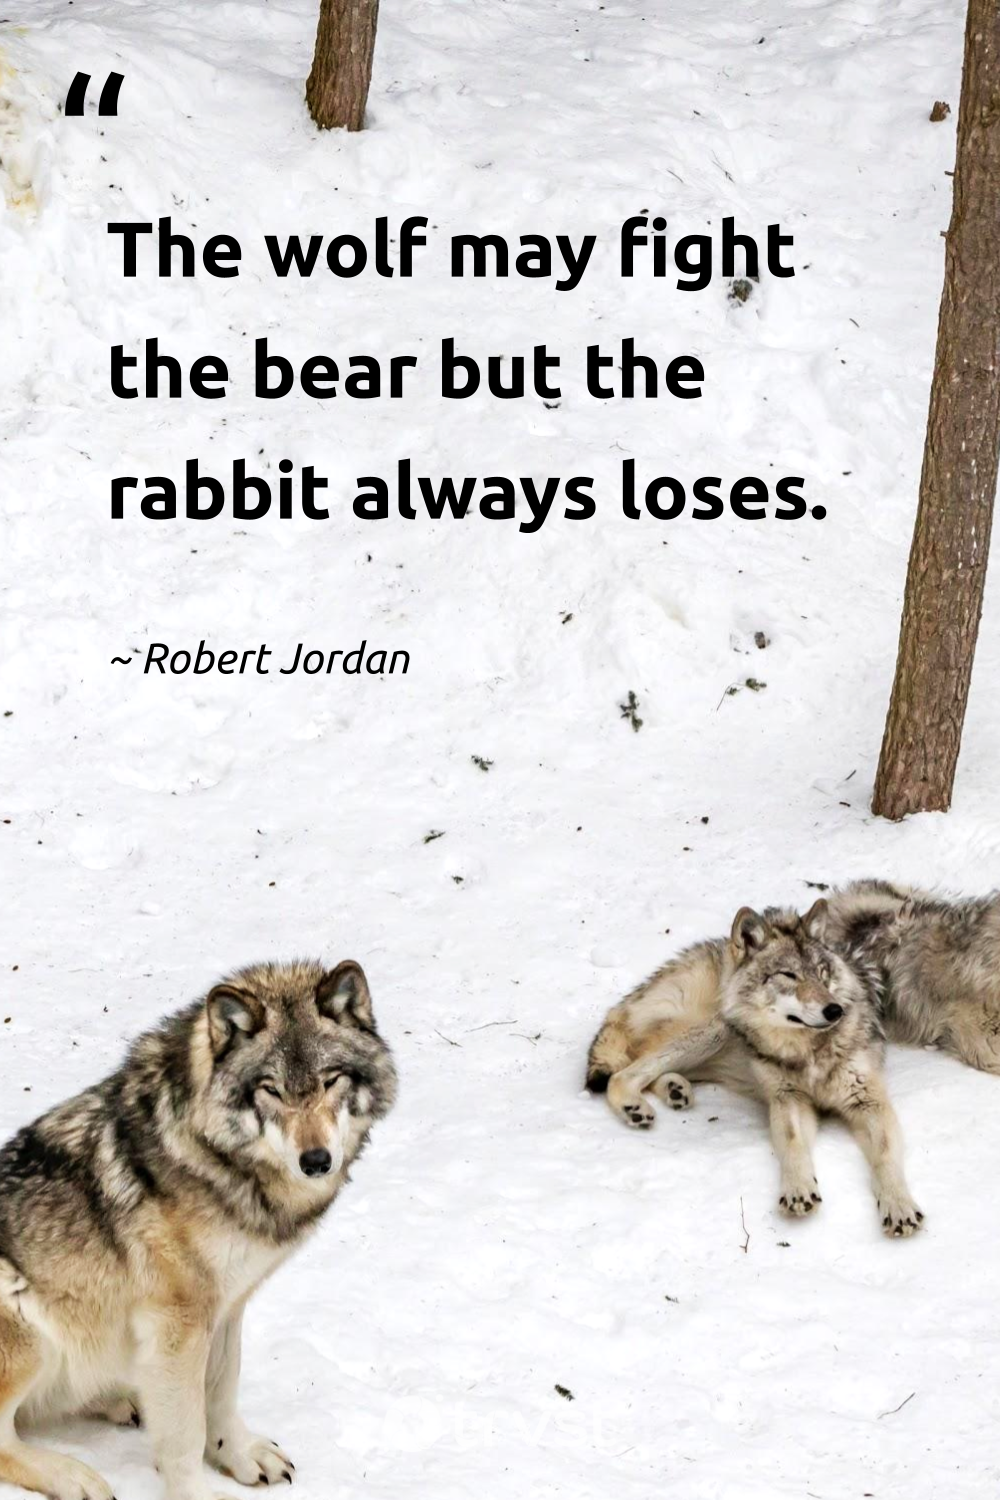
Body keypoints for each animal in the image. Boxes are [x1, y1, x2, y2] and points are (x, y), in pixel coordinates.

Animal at [0, 959, 397, 1500]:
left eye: (330, 1080)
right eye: (271, 1089)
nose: (316, 1161)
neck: (217, 1159)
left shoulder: (228, 1306)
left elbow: (221, 1392)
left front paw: (238, 1453)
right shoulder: (180, 1321)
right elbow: (186, 1432)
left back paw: (120, 1398)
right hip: (24, 1322)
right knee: (6, 1438)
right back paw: (72, 1474)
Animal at [586, 901, 923, 1236]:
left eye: (822, 972)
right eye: (789, 975)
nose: (834, 1010)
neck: (808, 1051)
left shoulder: (869, 1101)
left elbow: (884, 1156)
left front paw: (899, 1206)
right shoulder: (789, 1099)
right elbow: (792, 1144)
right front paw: (798, 1190)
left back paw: (674, 1090)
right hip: (714, 1028)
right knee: (624, 1073)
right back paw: (634, 1106)